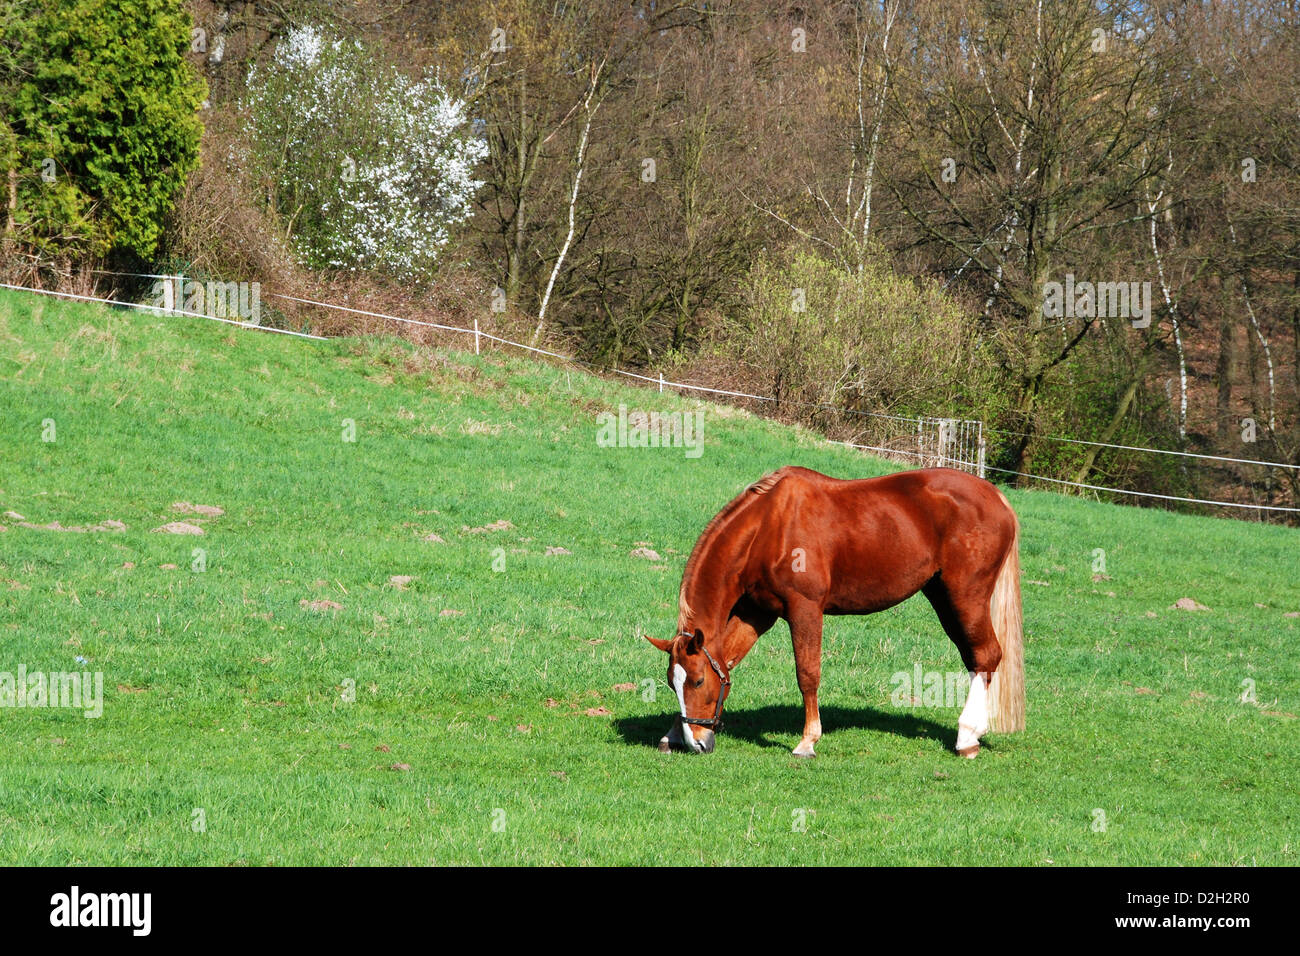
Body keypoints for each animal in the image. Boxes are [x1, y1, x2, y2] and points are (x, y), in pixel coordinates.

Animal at [645, 466, 1023, 758]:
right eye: (672, 683)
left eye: (697, 681)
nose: (697, 742)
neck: (768, 527)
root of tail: (996, 496)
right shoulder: (757, 614)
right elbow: (727, 661)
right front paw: (672, 733)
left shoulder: (805, 609)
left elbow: (807, 674)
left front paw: (808, 741)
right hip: (942, 595)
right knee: (976, 658)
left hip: (965, 596)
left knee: (986, 654)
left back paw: (967, 736)